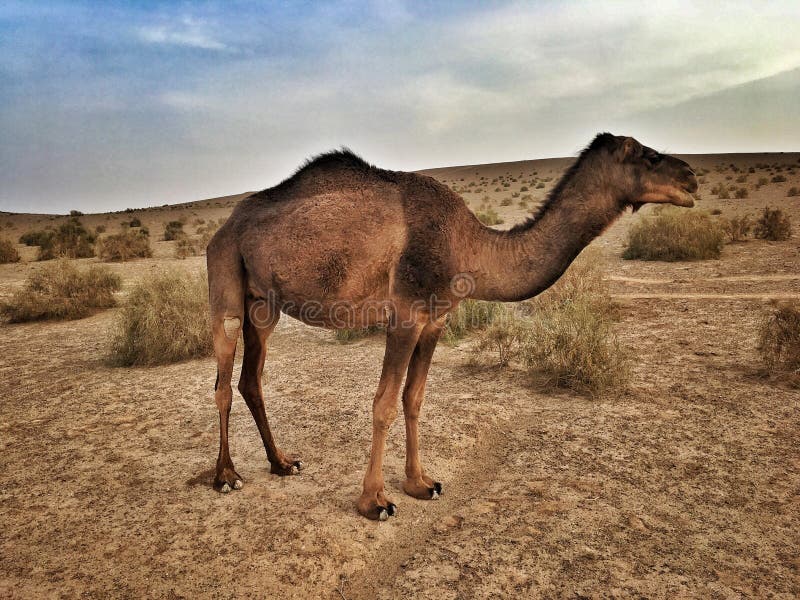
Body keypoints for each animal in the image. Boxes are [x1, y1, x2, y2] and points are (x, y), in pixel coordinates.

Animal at [206, 133, 697, 520]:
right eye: (648, 155)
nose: (691, 178)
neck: (469, 245)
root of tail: (224, 229)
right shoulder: (405, 314)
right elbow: (384, 404)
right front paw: (374, 501)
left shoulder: (436, 319)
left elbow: (414, 399)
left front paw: (421, 483)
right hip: (226, 285)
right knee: (223, 381)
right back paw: (226, 475)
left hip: (264, 306)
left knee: (251, 379)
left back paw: (281, 462)